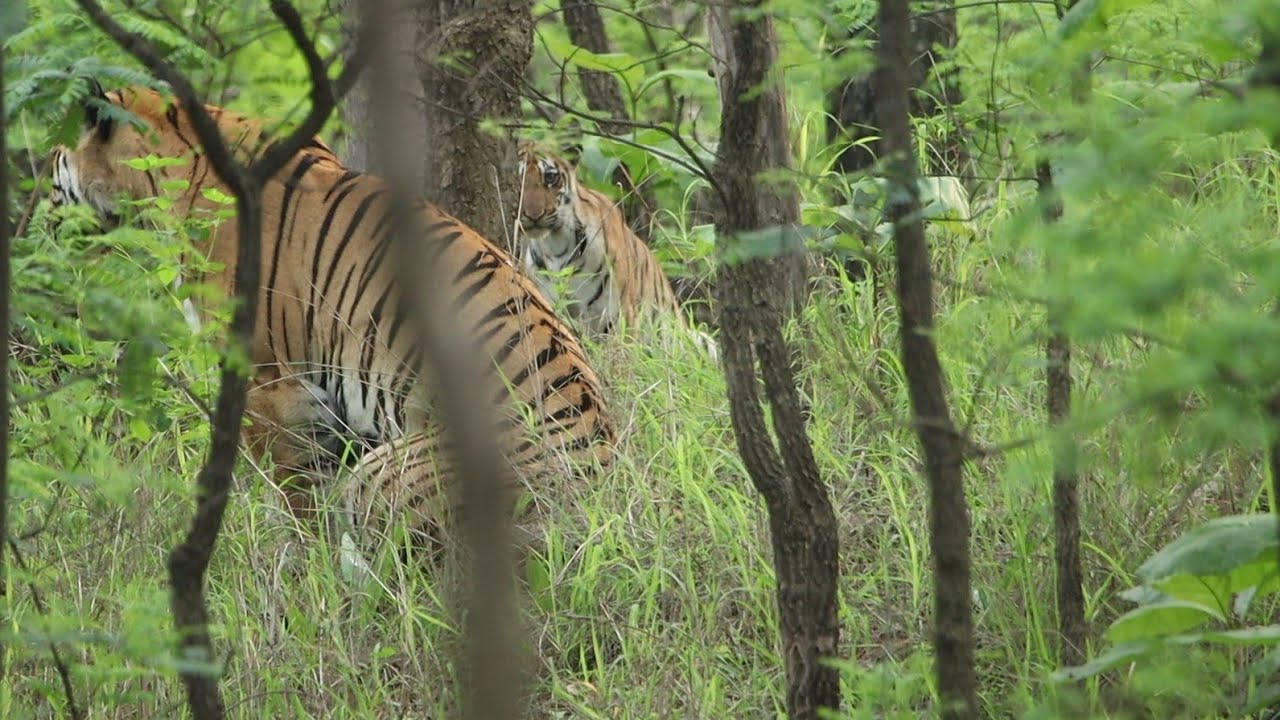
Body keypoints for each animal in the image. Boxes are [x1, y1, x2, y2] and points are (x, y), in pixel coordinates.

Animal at [48, 83, 615, 553]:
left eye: (54, 165)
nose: (42, 220)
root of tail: (596, 482)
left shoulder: (271, 386)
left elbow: (296, 494)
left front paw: (298, 566)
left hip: (386, 474)